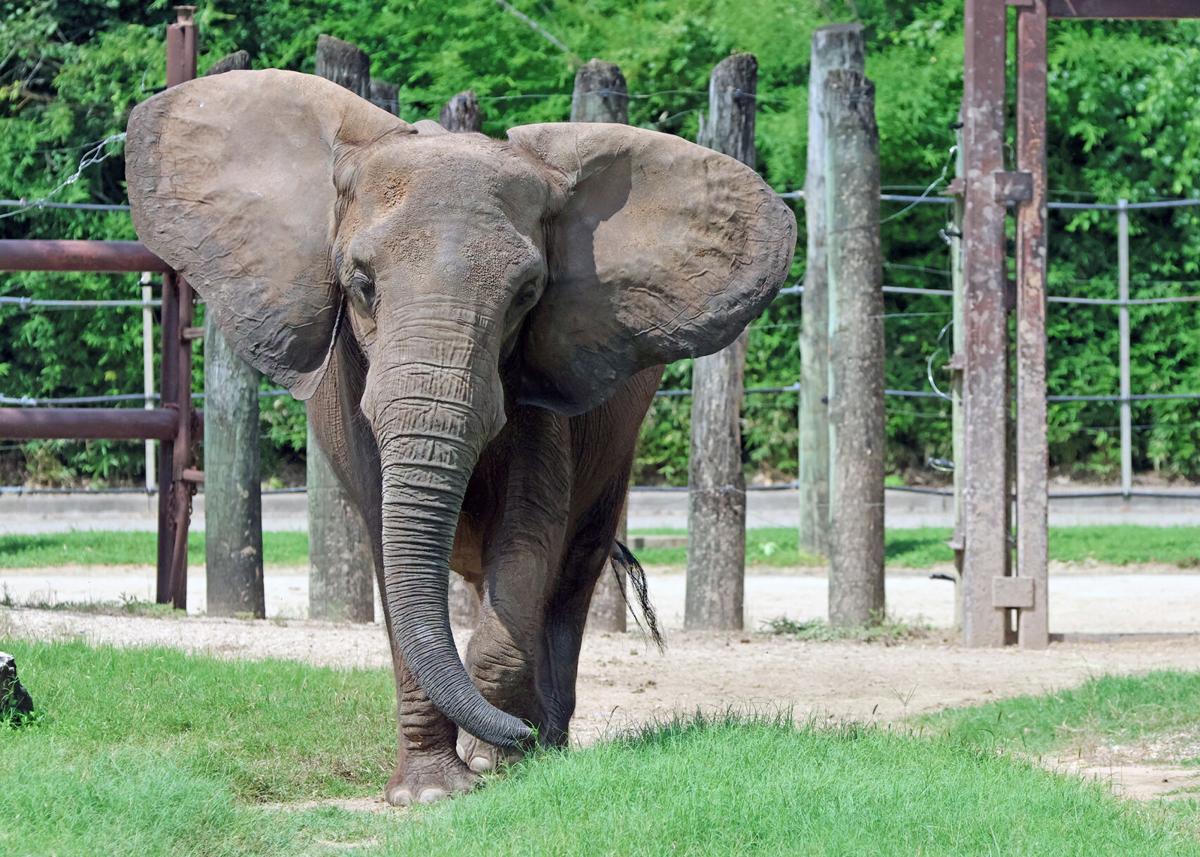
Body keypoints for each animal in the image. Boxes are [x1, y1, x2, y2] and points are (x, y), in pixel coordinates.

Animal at [125, 69, 796, 805]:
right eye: (361, 283)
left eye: (527, 294)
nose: (517, 739)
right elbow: (393, 552)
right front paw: (429, 793)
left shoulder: (539, 375)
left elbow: (530, 535)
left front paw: (499, 759)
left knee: (572, 571)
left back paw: (544, 738)